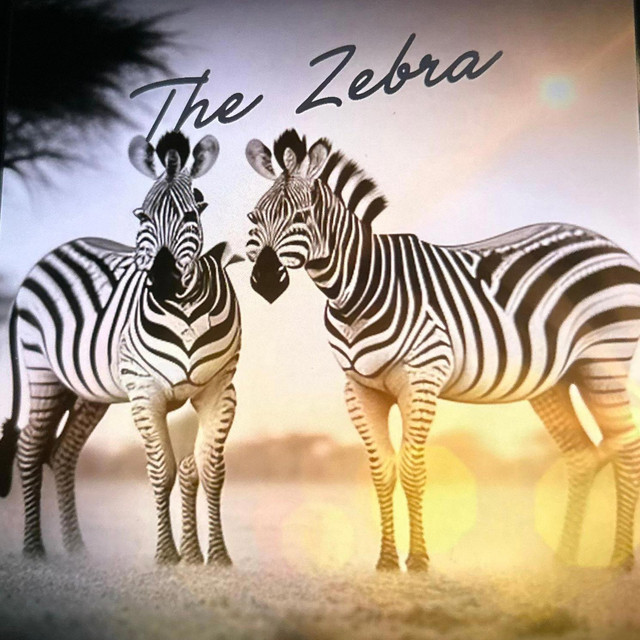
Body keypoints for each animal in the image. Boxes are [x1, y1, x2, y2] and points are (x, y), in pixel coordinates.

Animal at [0, 131, 242, 565]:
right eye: (142, 217)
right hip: (42, 371)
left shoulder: (220, 390)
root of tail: (46, 258)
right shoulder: (146, 392)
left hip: (87, 390)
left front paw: (216, 558)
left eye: (192, 215)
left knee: (62, 453)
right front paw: (167, 556)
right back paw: (34, 548)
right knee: (29, 448)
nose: (162, 281)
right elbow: (161, 470)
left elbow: (211, 469)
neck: (185, 312)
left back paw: (77, 549)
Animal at [244, 128, 640, 572]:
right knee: (582, 455)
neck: (357, 294)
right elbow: (381, 471)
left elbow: (413, 470)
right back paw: (563, 561)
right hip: (553, 380)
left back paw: (620, 560)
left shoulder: (421, 378)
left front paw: (418, 560)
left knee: (628, 448)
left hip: (604, 361)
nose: (265, 279)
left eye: (302, 215)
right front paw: (386, 561)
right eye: (255, 218)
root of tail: (608, 243)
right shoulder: (360, 389)